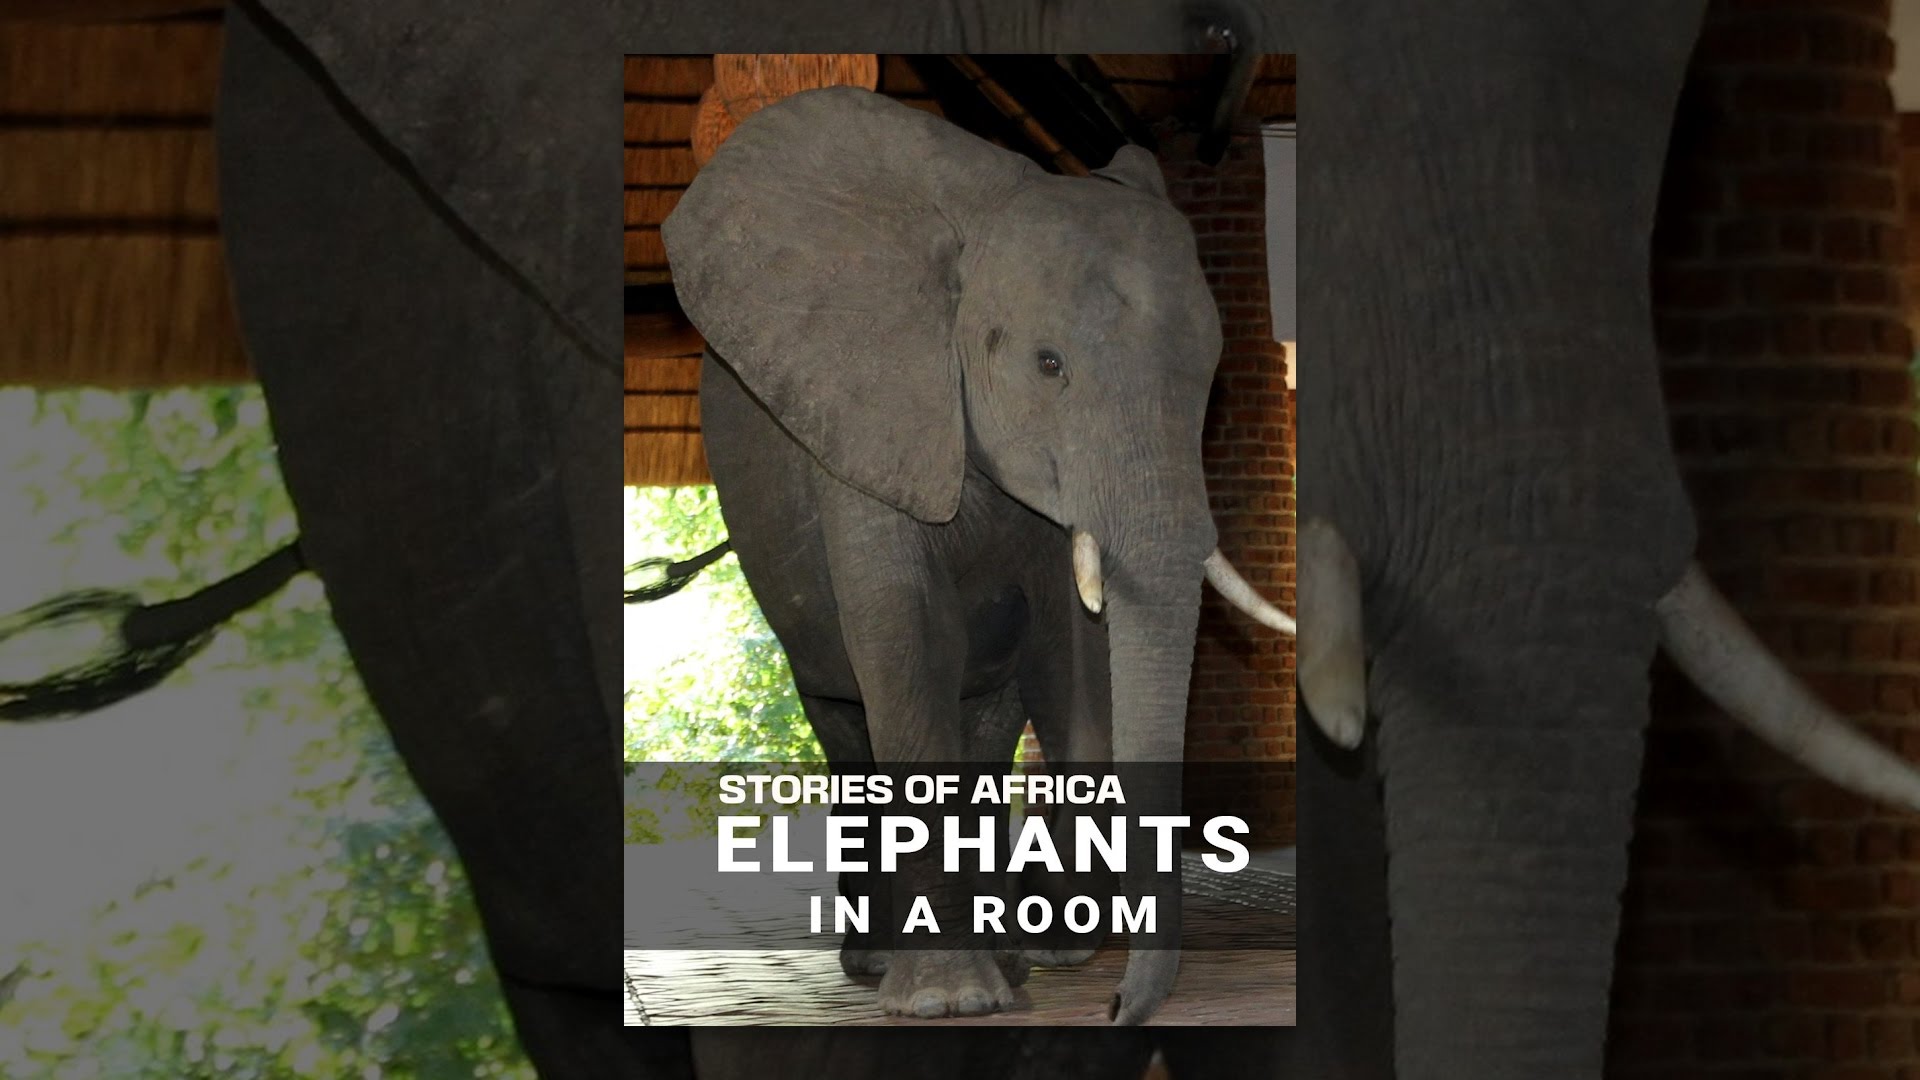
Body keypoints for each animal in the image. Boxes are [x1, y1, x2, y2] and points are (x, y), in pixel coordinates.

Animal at [653, 85, 1294, 1022]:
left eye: (1209, 380)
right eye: (1048, 364)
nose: (1117, 1008)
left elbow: (1075, 660)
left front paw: (1050, 952)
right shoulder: (867, 422)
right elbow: (911, 644)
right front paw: (948, 1000)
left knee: (988, 727)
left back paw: (1008, 963)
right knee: (846, 725)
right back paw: (881, 964)